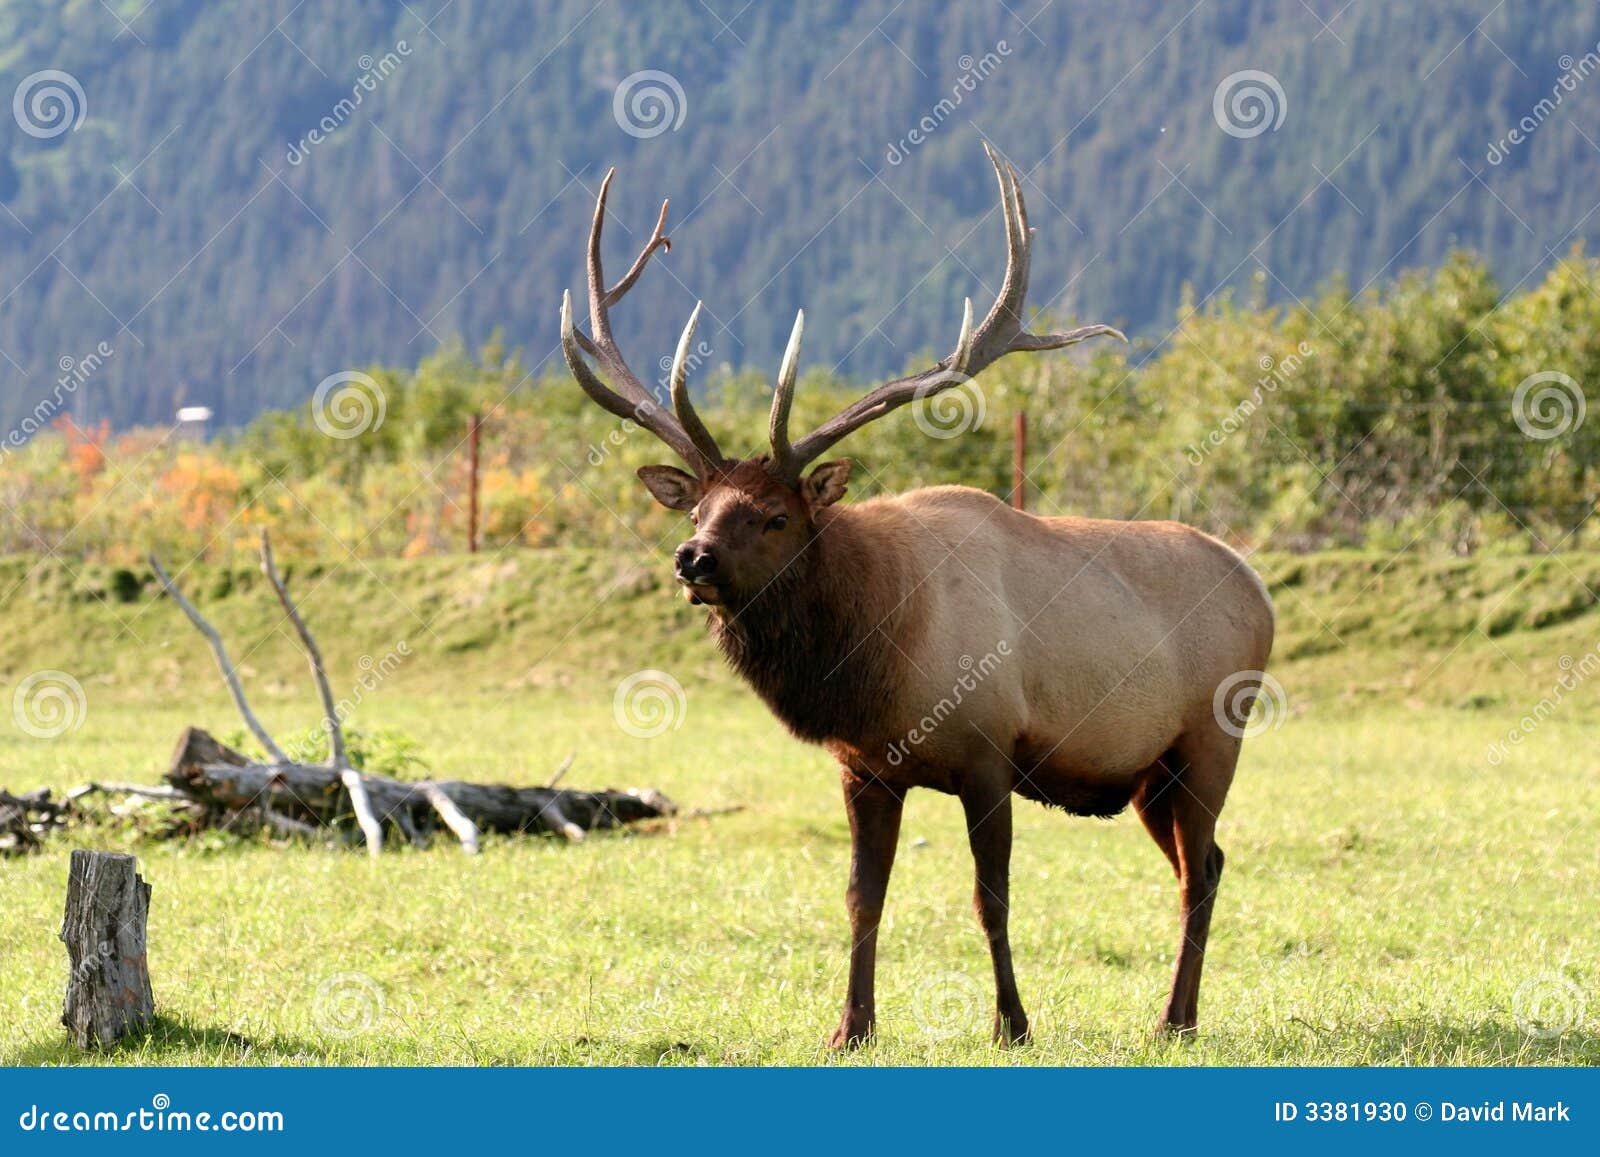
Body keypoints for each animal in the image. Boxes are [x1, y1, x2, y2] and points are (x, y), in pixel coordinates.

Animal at [558, 144, 1275, 1048]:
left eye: (774, 514)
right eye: (697, 508)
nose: (692, 558)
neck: (880, 656)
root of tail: (1260, 588)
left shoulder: (990, 752)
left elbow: (990, 899)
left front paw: (1012, 1023)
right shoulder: (864, 768)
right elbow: (863, 898)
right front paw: (850, 1027)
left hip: (1211, 741)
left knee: (1201, 868)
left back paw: (1173, 1019)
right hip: (1151, 774)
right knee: (1203, 860)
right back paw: (1179, 1014)